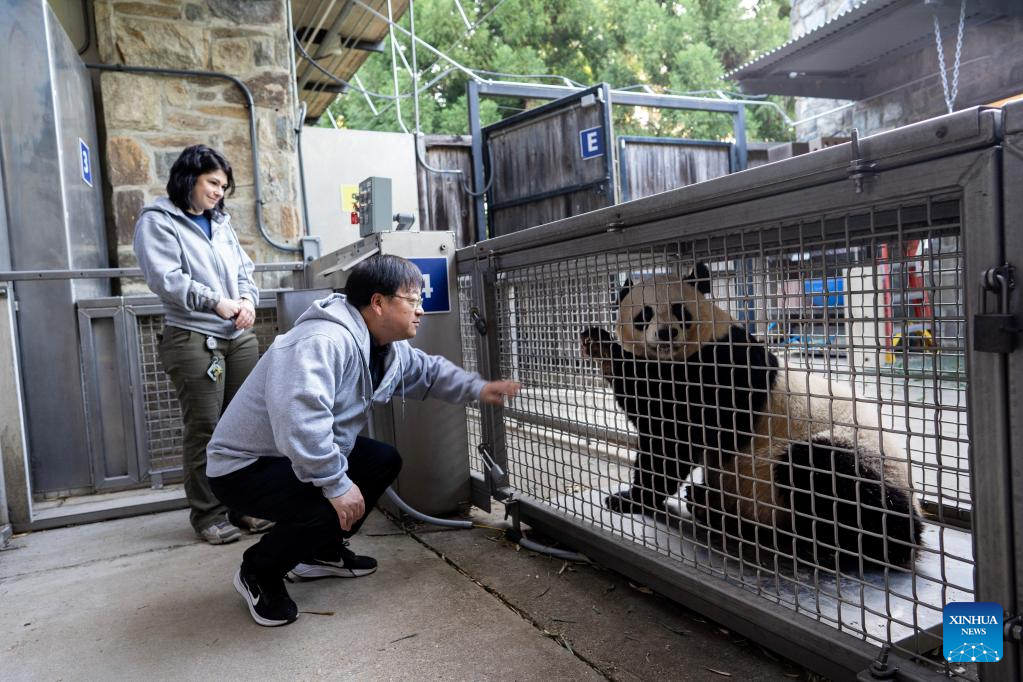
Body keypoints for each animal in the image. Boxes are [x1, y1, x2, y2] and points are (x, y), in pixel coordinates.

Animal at [580, 264, 923, 568]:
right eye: (645, 314)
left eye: (680, 310)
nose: (666, 333)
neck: (682, 354)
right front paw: (597, 342)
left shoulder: (728, 366)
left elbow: (684, 430)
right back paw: (704, 499)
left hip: (857, 451)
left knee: (827, 472)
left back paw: (835, 544)